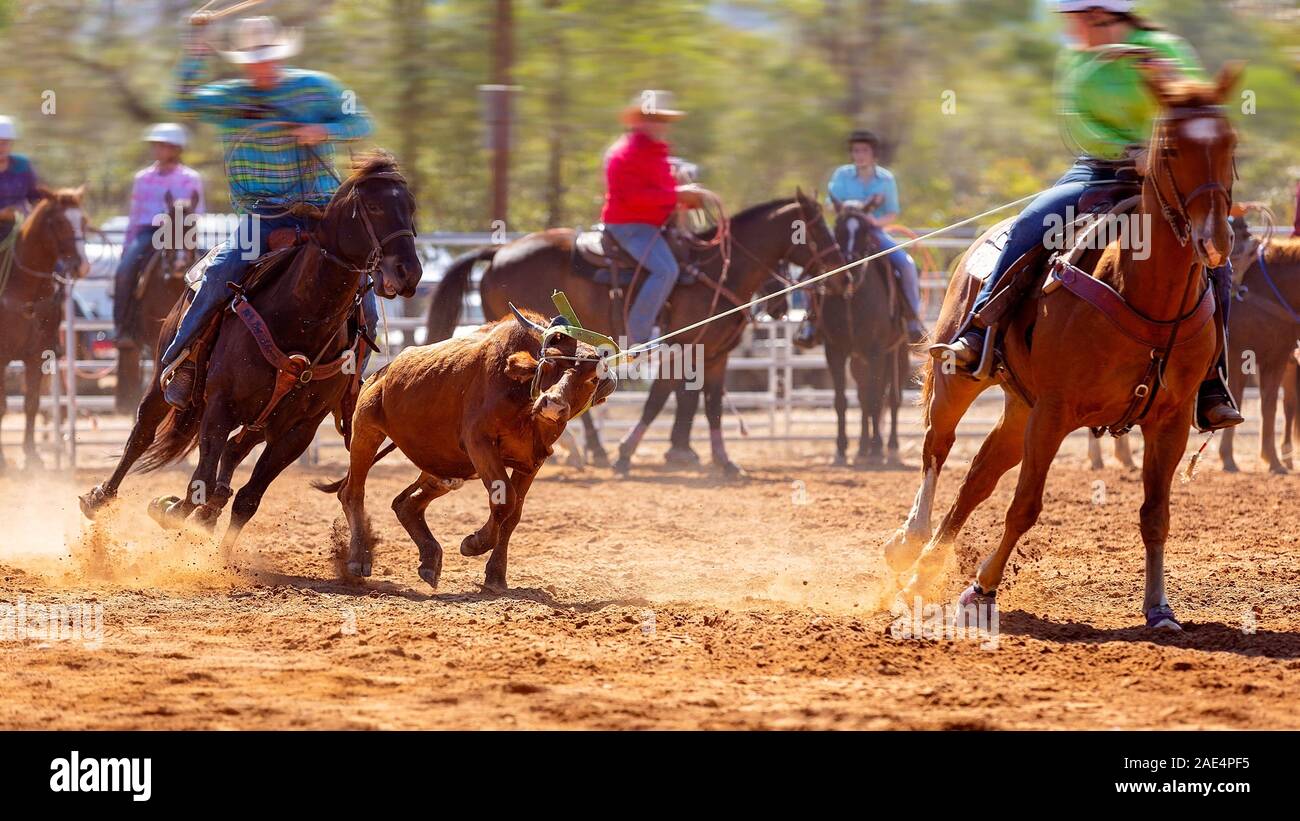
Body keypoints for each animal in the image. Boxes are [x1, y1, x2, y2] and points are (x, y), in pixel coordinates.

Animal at [315, 307, 615, 592]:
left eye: (591, 378)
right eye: (551, 360)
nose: (552, 404)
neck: (524, 403)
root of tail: (380, 373)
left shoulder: (532, 461)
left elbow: (513, 514)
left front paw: (496, 575)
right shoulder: (479, 443)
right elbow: (505, 501)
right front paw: (475, 543)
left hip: (446, 465)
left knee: (405, 503)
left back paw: (429, 558)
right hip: (366, 431)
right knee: (352, 492)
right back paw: (359, 559)